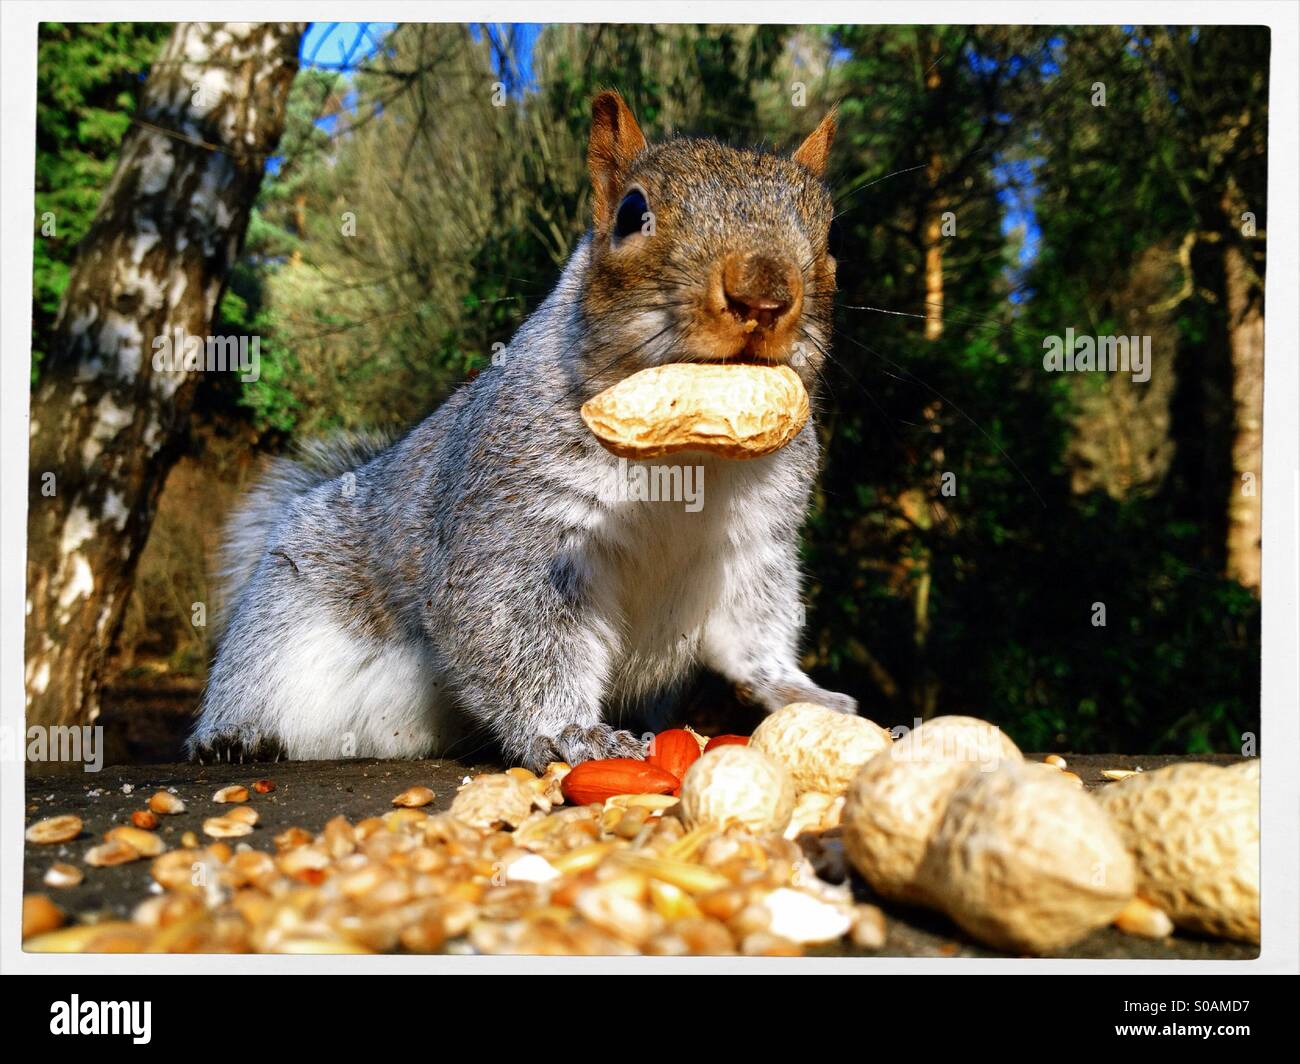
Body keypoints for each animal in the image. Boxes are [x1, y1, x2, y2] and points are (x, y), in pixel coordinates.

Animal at [188, 91, 857, 771]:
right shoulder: (515, 510)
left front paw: (802, 693)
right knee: (252, 674)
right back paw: (232, 734)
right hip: (286, 612)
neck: (689, 449)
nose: (764, 296)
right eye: (631, 211)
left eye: (831, 233)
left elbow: (752, 629)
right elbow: (511, 623)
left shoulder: (757, 541)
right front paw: (571, 733)